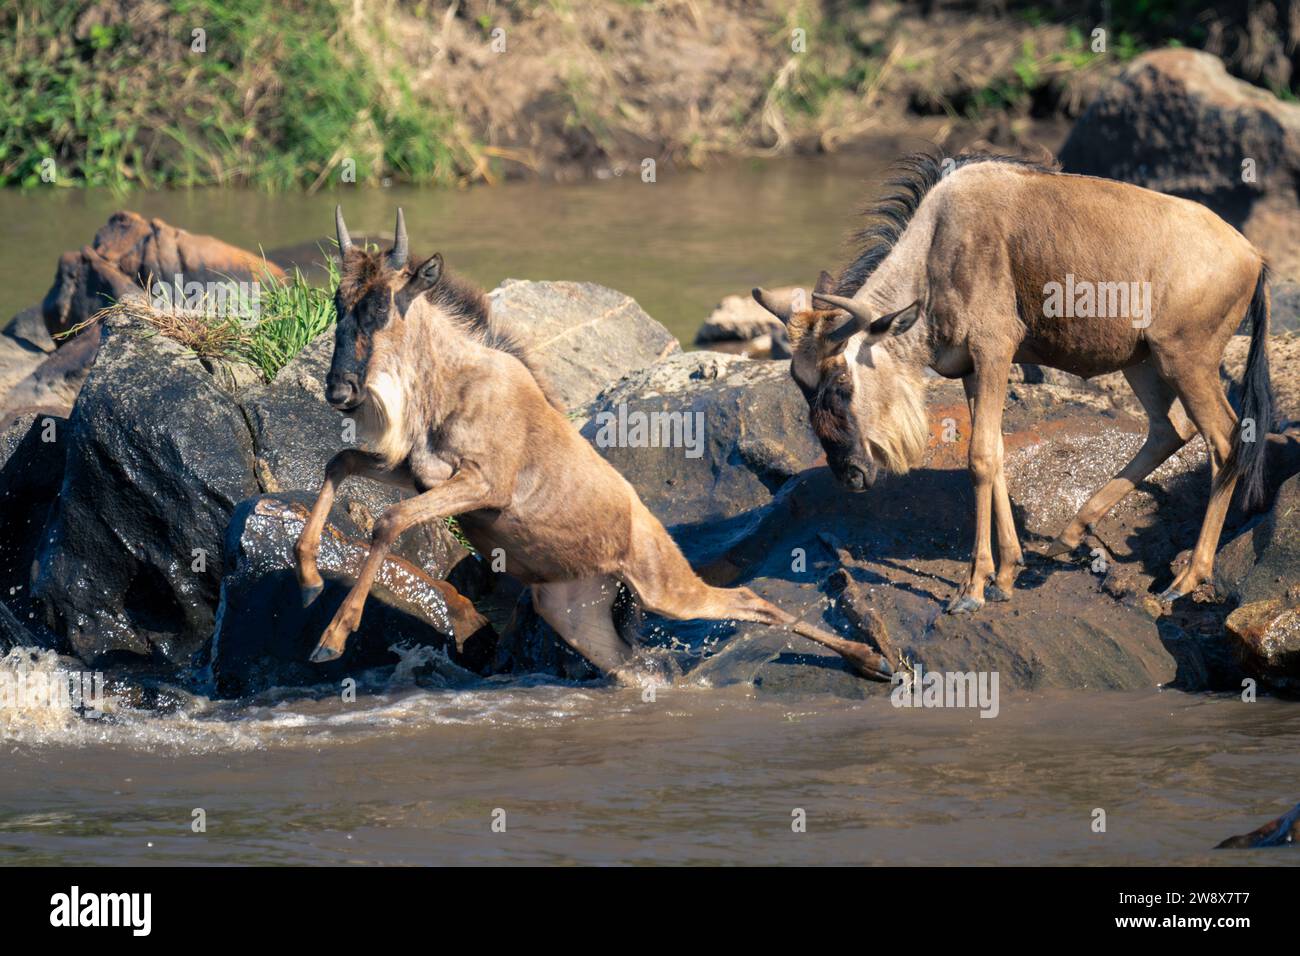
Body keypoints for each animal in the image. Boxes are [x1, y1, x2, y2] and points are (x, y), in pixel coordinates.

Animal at [292, 207, 894, 681]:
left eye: (383, 306)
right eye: (339, 302)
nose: (339, 390)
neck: (448, 382)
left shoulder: (482, 485)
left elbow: (386, 520)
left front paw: (330, 639)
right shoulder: (418, 474)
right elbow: (339, 462)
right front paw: (308, 581)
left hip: (666, 588)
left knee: (748, 600)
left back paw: (874, 661)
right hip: (578, 618)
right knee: (635, 666)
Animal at [754, 152, 1272, 613]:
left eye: (843, 384)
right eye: (801, 385)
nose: (850, 474)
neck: (936, 251)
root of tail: (1252, 254)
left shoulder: (994, 350)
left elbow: (980, 457)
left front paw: (973, 587)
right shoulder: (971, 368)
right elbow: (998, 453)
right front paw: (1005, 574)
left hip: (1185, 359)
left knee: (1225, 441)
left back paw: (1186, 579)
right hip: (1142, 361)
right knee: (1170, 430)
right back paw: (1070, 534)